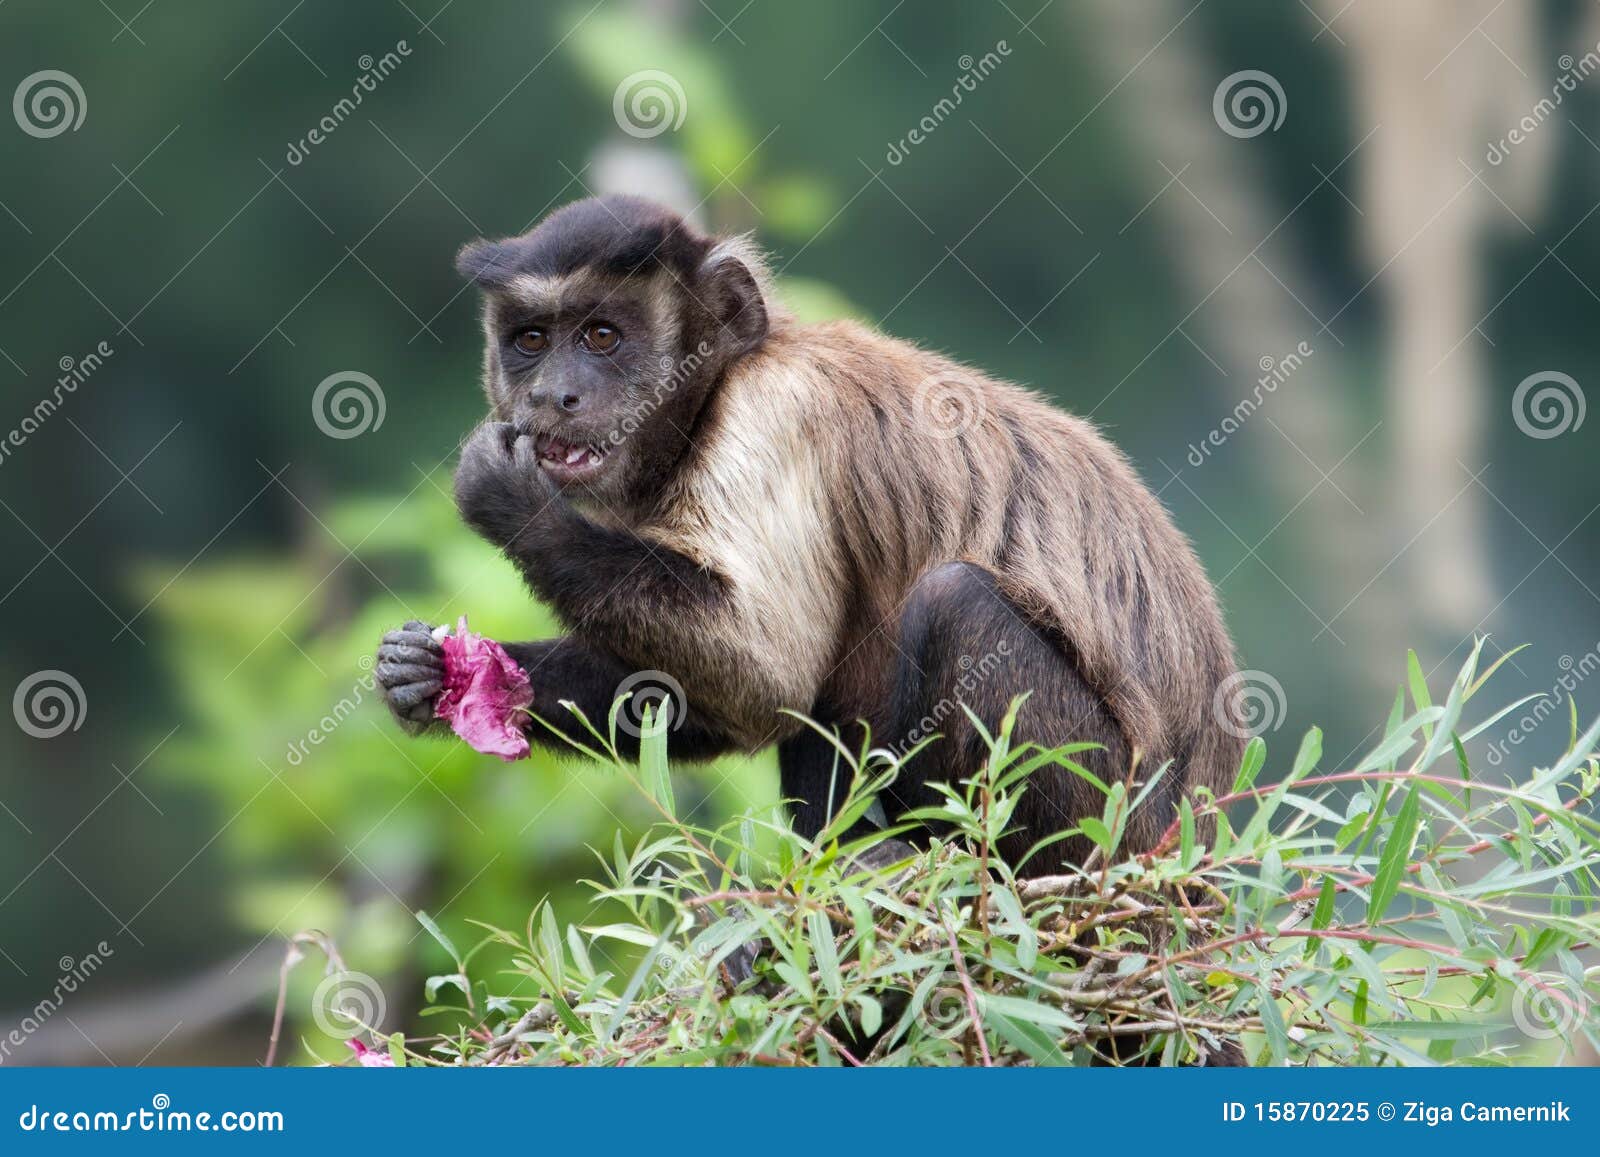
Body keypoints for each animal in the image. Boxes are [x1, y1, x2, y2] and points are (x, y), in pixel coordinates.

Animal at [375, 193, 1245, 882]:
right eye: (531, 341)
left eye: (600, 337)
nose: (554, 395)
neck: (713, 394)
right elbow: (724, 700)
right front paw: (437, 674)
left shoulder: (774, 413)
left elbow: (769, 670)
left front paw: (512, 501)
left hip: (1113, 822)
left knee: (951, 605)